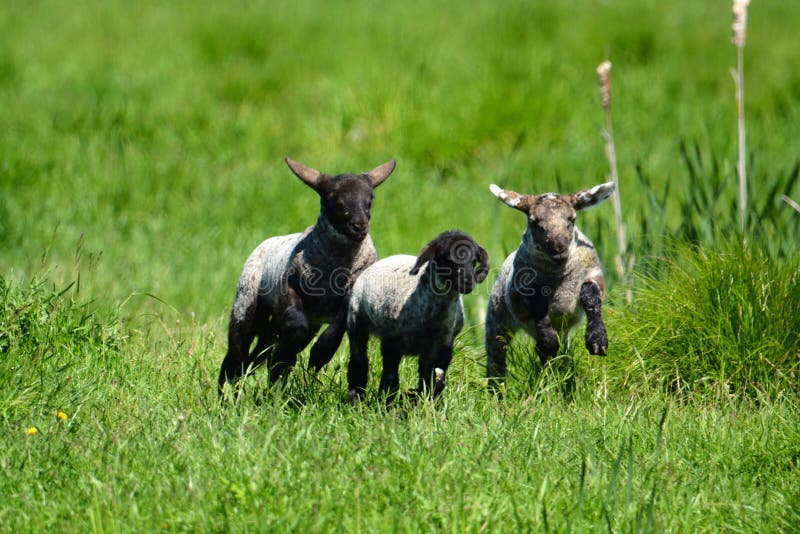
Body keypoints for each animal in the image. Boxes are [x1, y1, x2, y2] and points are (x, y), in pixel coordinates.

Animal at [217, 157, 396, 396]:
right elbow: (296, 328)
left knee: (259, 350)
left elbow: (333, 333)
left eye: (370, 199)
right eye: (334, 199)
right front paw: (282, 362)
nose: (359, 226)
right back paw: (228, 391)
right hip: (247, 299)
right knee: (236, 351)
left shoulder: (350, 297)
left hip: (289, 321)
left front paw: (316, 358)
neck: (336, 265)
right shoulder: (289, 287)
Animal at [346, 230, 490, 402]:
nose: (468, 282)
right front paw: (386, 402)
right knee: (358, 361)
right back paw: (355, 398)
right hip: (356, 320)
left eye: (474, 261)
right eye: (446, 258)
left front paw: (431, 401)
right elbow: (390, 377)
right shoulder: (391, 340)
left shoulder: (445, 344)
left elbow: (435, 379)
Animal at [484, 181, 615, 382]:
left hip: (563, 329)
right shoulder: (525, 289)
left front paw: (597, 339)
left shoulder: (593, 275)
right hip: (497, 317)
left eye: (572, 219)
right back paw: (498, 385)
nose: (559, 247)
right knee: (496, 355)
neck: (557, 275)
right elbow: (539, 309)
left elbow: (591, 296)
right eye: (533, 221)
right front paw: (548, 344)